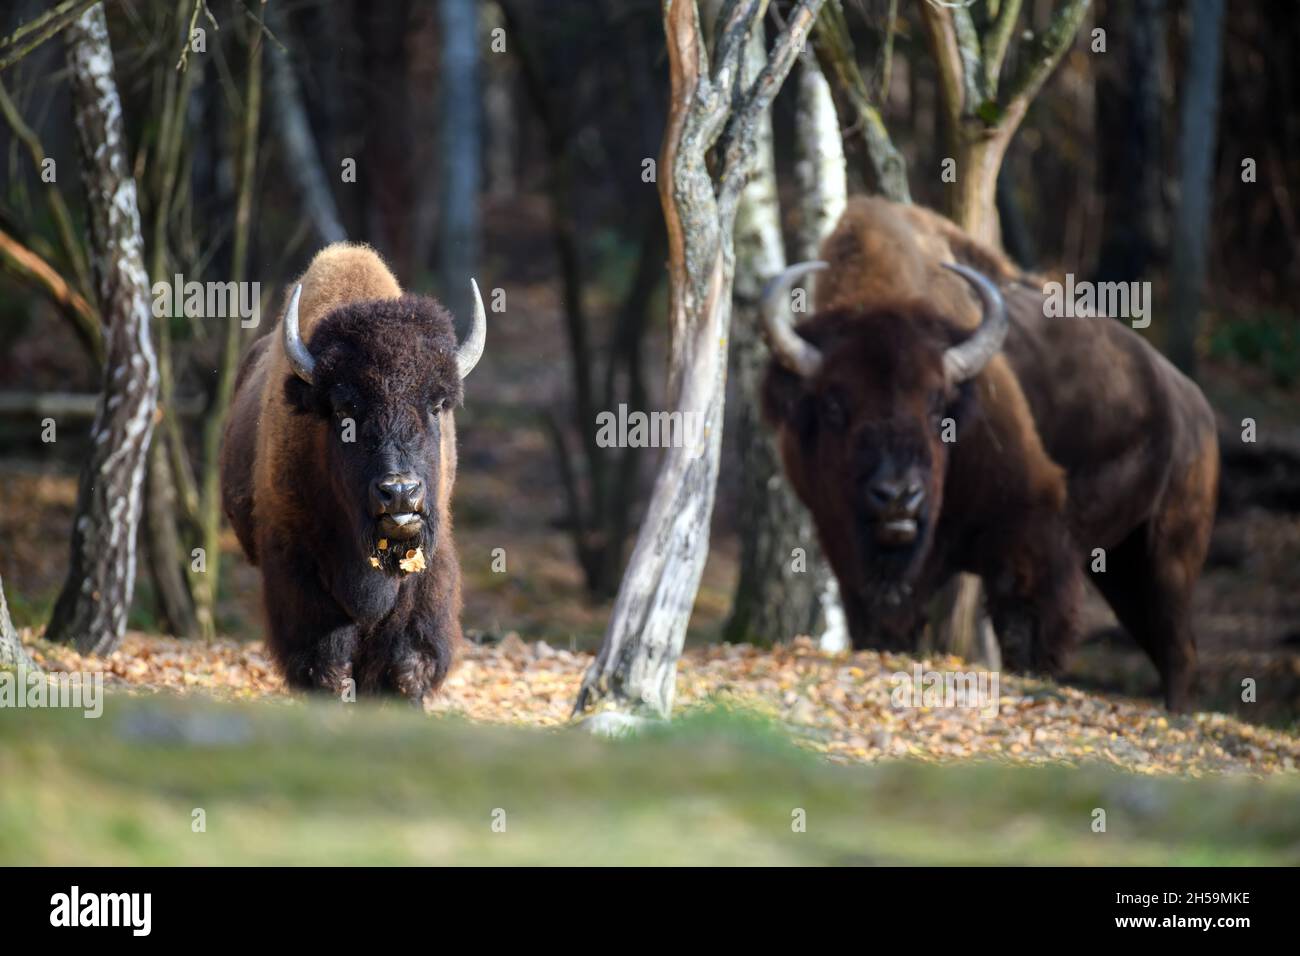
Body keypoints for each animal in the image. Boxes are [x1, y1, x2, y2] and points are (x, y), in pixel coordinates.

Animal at [220, 244, 485, 703]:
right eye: (344, 409)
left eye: (436, 406)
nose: (401, 494)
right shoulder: (298, 569)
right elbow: (327, 665)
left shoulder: (427, 568)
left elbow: (408, 663)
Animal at [761, 197, 1218, 711]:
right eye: (834, 405)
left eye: (937, 403)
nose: (898, 498)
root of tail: (1191, 401)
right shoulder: (843, 543)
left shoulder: (1030, 534)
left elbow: (1026, 630)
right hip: (1121, 568)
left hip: (1168, 557)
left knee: (1177, 649)